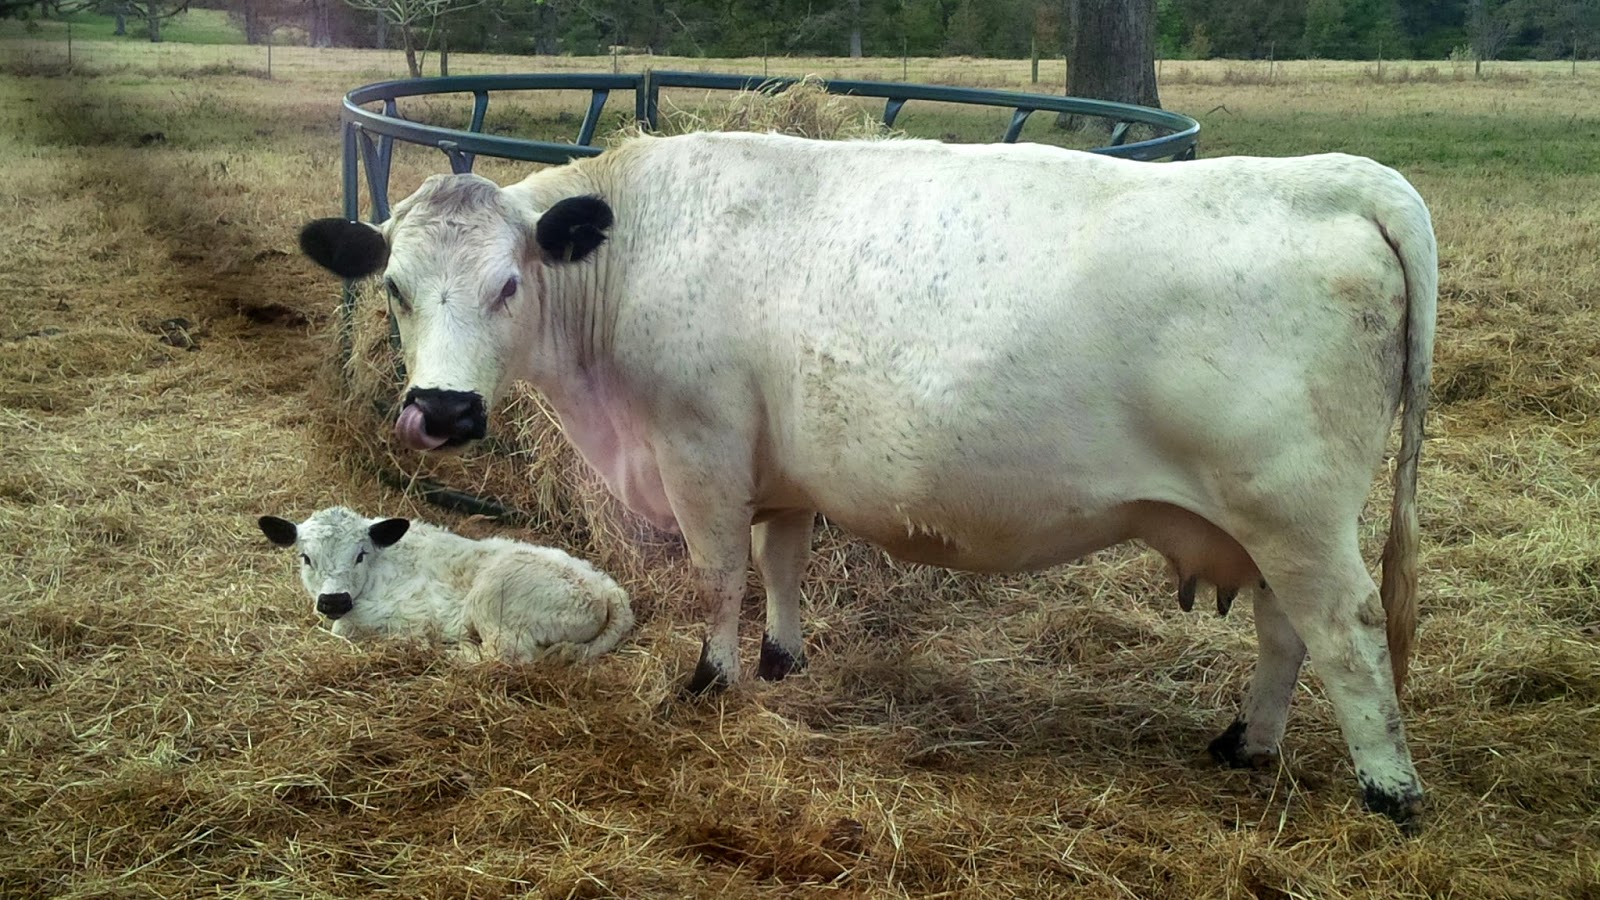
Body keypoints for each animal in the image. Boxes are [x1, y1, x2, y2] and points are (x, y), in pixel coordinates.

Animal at [258, 506, 634, 663]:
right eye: (306, 557)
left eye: (360, 555)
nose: (334, 600)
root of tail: (609, 591)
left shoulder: (413, 611)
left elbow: (344, 629)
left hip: (494, 598)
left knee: (509, 656)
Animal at [297, 131, 1438, 829]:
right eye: (394, 288)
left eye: (507, 284)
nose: (442, 412)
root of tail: (1340, 176)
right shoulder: (780, 467)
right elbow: (783, 560)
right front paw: (781, 661)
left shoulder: (701, 447)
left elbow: (719, 572)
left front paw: (709, 679)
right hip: (1269, 524)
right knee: (1286, 631)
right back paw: (1248, 742)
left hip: (1296, 512)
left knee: (1345, 631)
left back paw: (1388, 787)